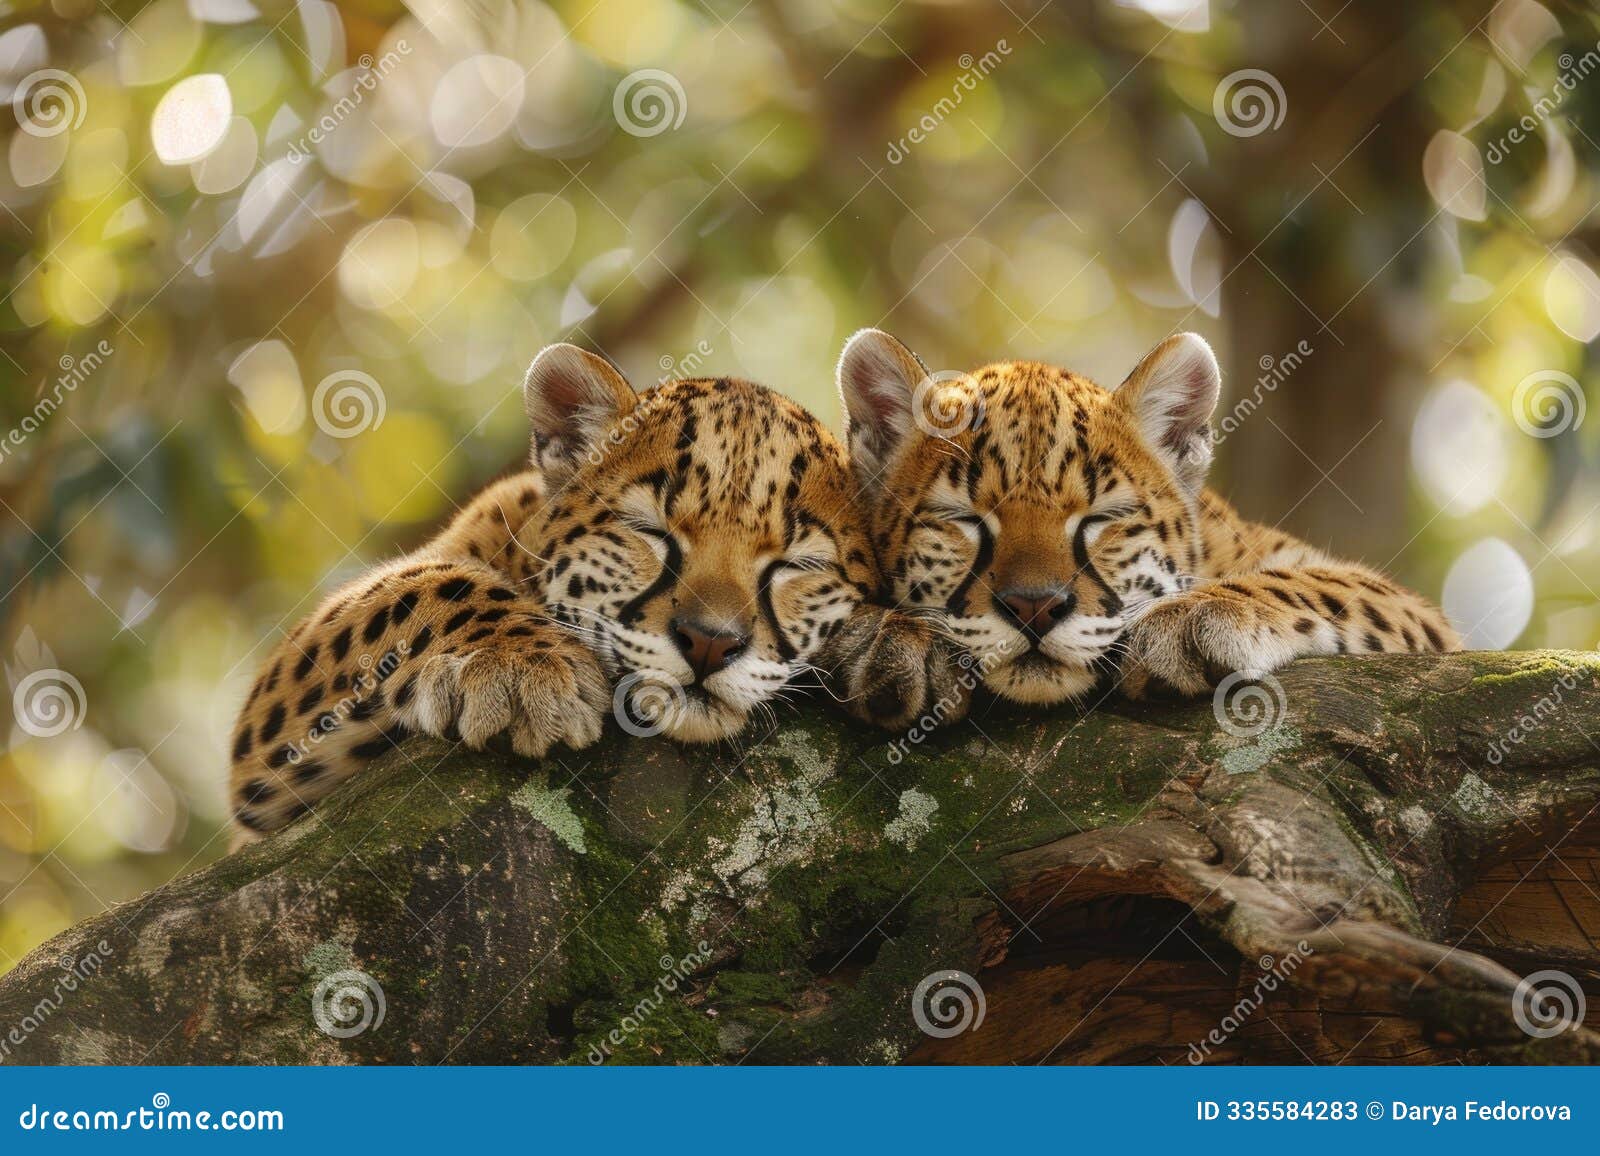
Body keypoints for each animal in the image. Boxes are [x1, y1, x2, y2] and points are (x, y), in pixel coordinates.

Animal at [227, 344, 959, 846]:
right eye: (650, 531)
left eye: (796, 564)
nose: (709, 643)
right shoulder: (266, 758)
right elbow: (416, 587)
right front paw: (522, 667)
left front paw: (900, 641)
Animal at [834, 328, 1460, 707]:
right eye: (960, 517)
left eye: (1102, 518)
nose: (1034, 609)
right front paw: (890, 637)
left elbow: (1316, 583)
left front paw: (1192, 617)